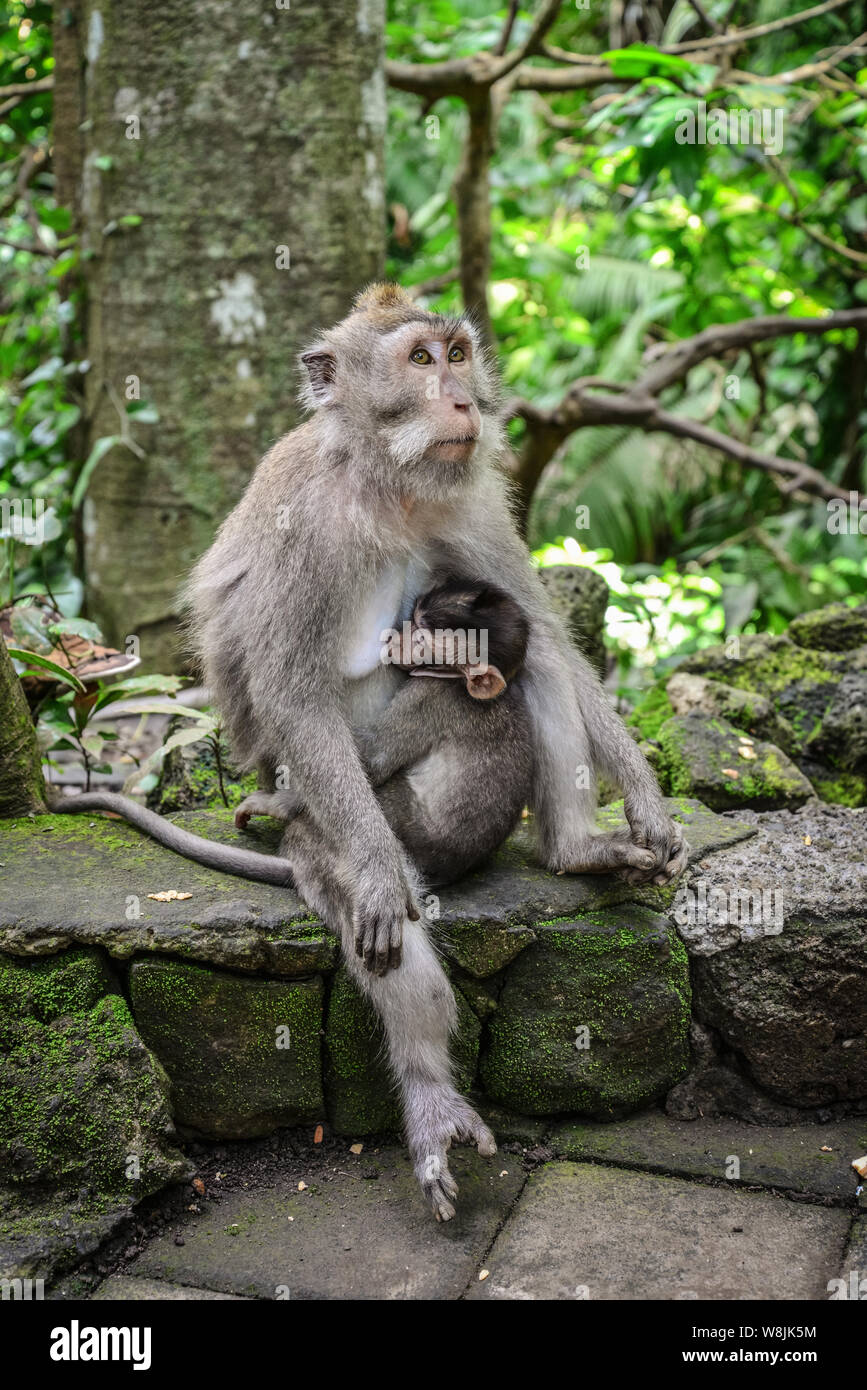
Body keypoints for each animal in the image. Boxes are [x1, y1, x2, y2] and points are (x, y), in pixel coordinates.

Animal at [54, 283, 687, 1220]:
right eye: (418, 360)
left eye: (457, 354)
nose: (461, 401)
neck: (387, 483)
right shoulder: (304, 522)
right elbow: (294, 693)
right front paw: (384, 884)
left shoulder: (468, 503)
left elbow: (549, 638)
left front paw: (644, 798)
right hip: (331, 815)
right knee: (362, 880)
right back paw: (426, 1086)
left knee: (531, 654)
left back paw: (574, 851)